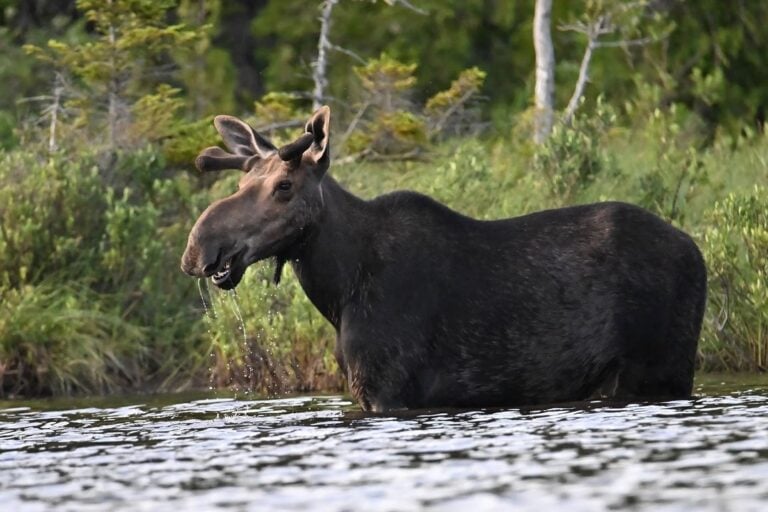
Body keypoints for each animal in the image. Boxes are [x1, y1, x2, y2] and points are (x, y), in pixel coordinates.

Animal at [181, 106, 707, 412]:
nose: (200, 246)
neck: (340, 285)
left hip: (658, 368)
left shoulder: (387, 388)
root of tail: (696, 251)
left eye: (284, 186)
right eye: (241, 182)